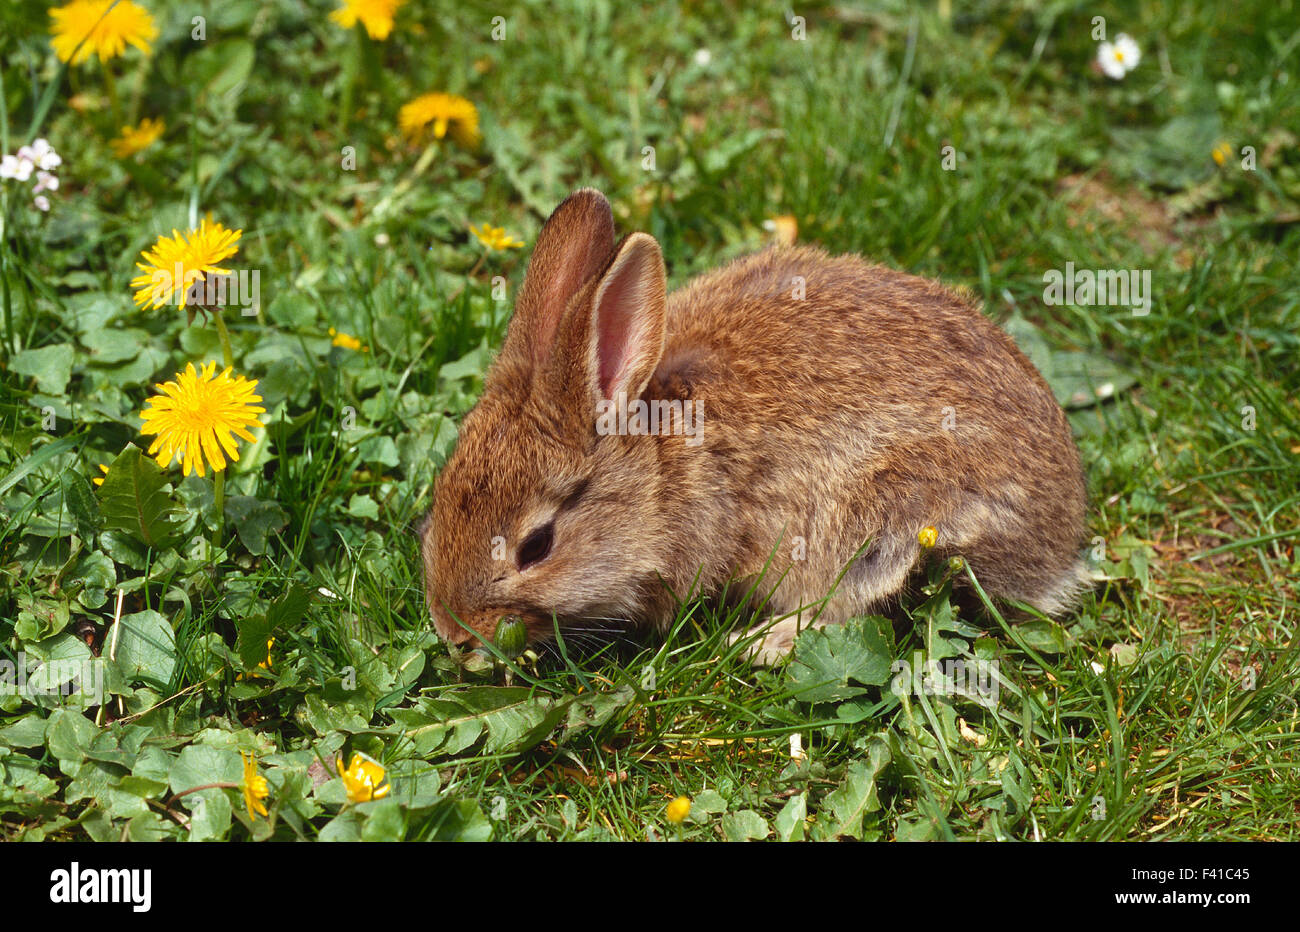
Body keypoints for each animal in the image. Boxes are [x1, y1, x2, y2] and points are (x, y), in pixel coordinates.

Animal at [421, 188, 1089, 666]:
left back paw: (760, 643)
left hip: (895, 517)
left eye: (537, 547)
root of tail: (1057, 546)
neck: (660, 465)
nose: (453, 632)